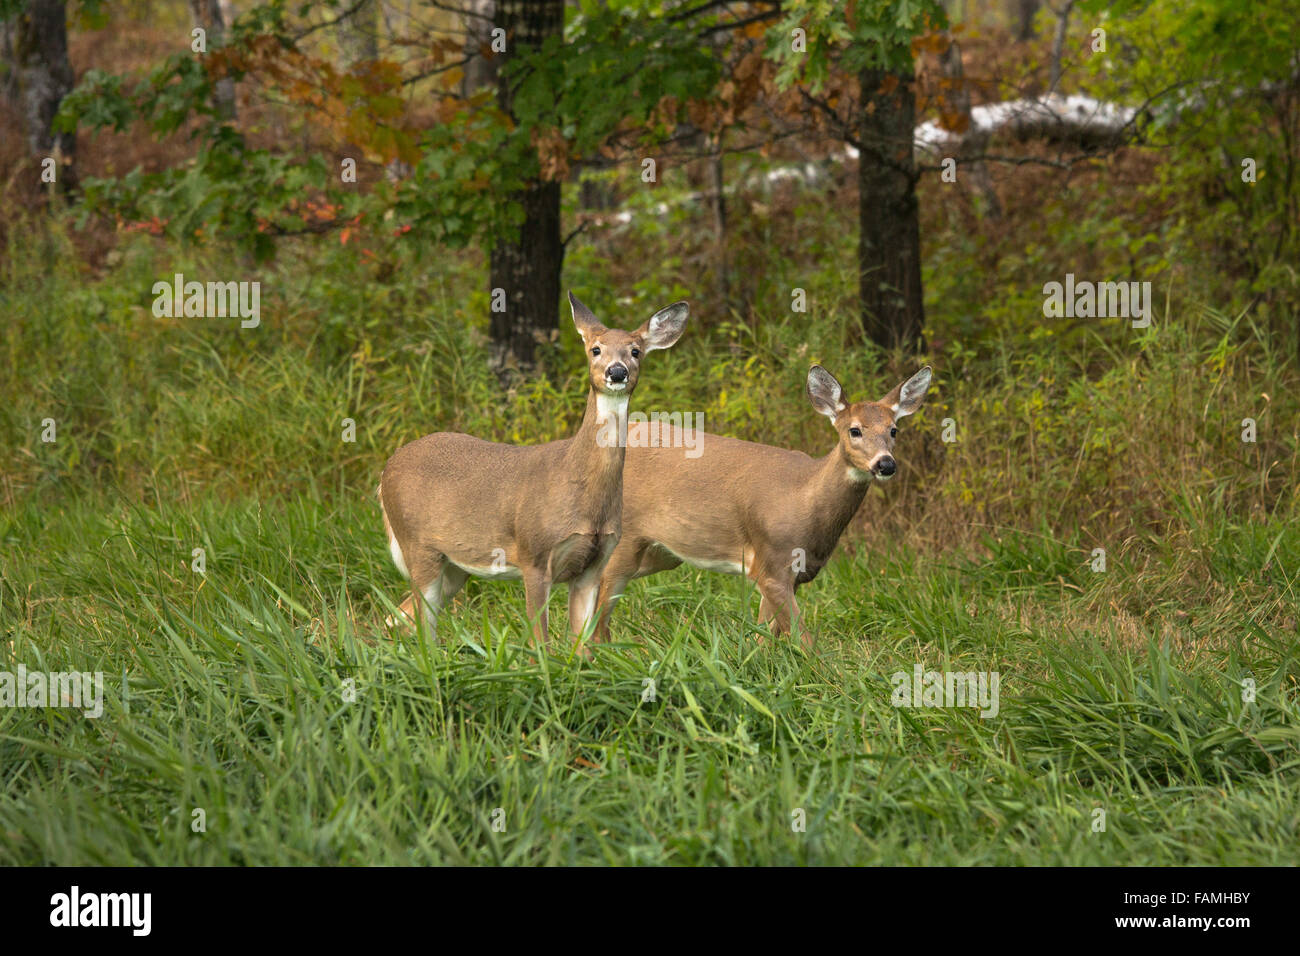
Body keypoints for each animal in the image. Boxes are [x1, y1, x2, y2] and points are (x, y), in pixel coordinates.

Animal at [378, 292, 689, 644]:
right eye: (595, 349)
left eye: (635, 351)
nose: (617, 371)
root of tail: (386, 471)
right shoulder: (534, 555)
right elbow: (540, 643)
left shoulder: (594, 564)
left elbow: (583, 646)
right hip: (417, 544)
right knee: (421, 629)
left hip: (455, 565)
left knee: (399, 616)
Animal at [591, 364, 931, 646]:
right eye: (855, 430)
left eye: (893, 430)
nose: (885, 464)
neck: (805, 498)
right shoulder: (771, 561)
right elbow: (805, 642)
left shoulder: (788, 573)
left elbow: (764, 636)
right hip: (627, 532)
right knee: (601, 600)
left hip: (662, 552)